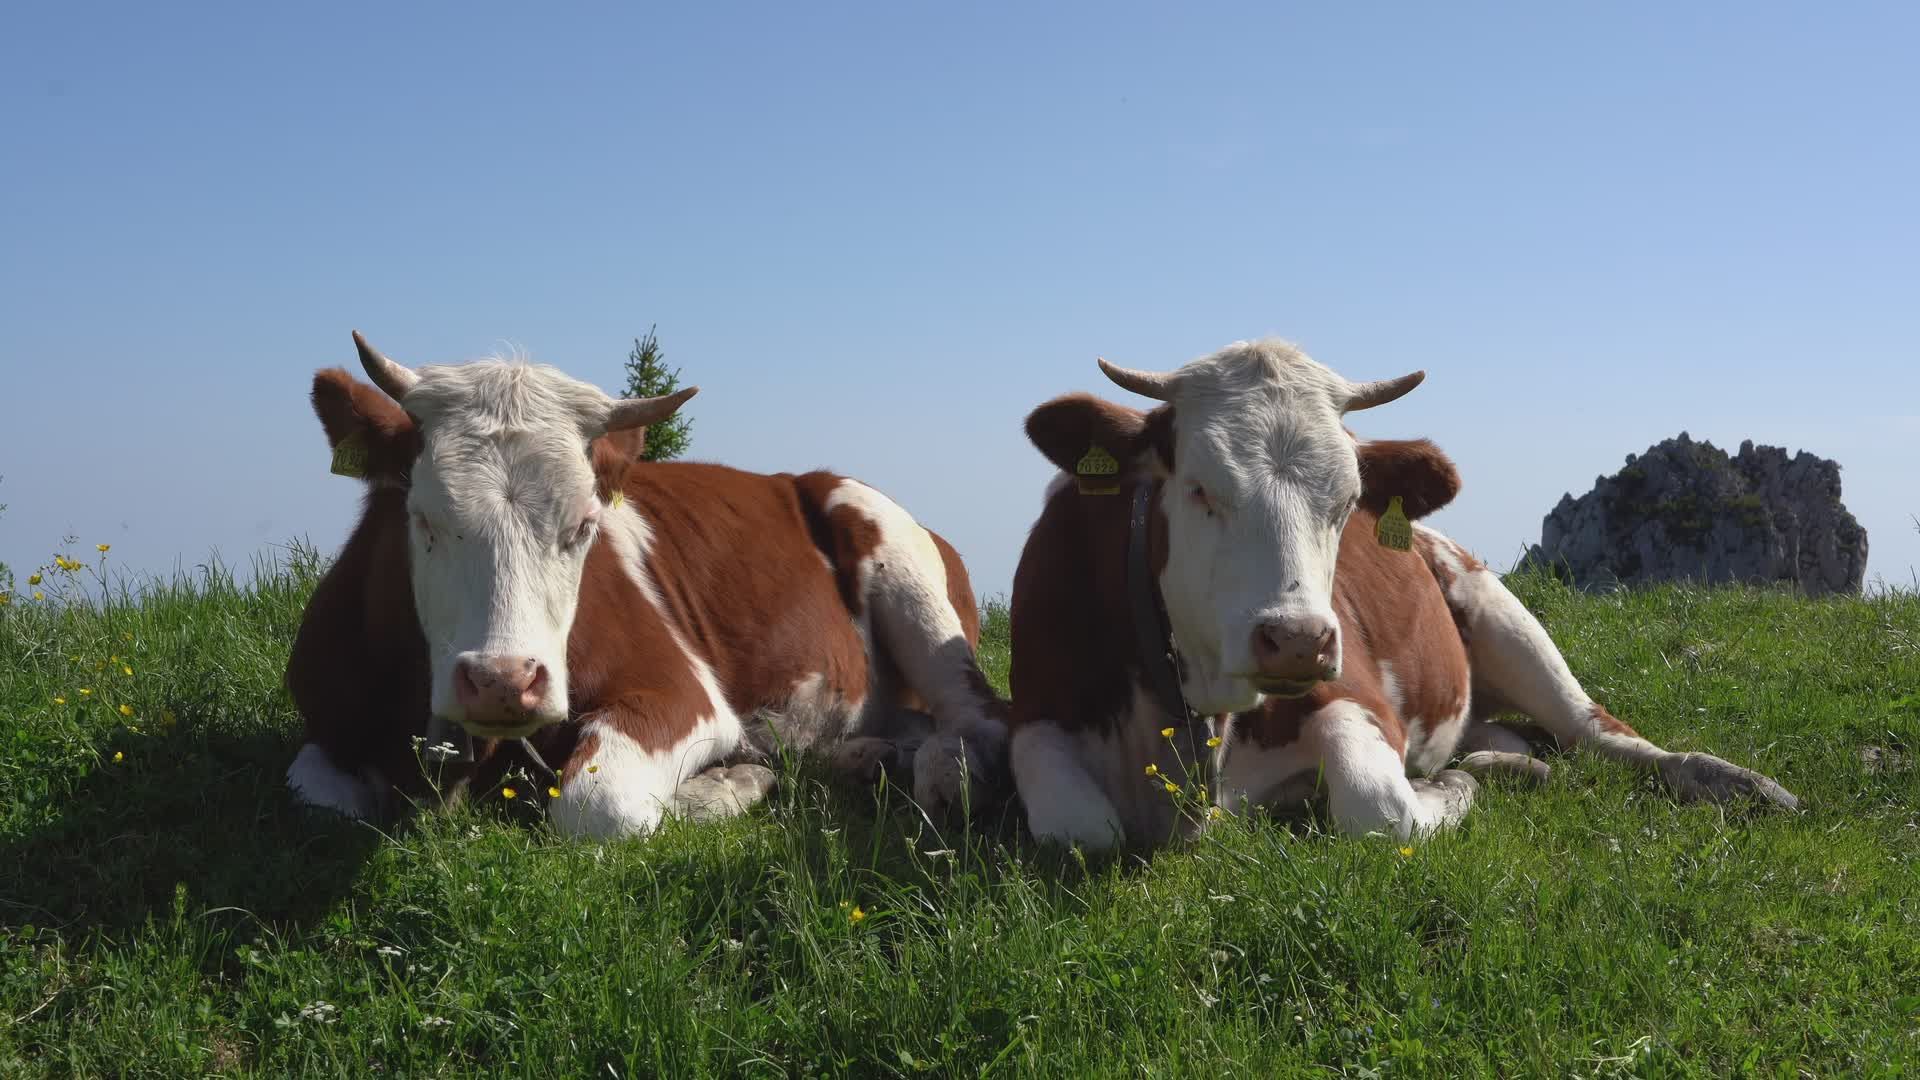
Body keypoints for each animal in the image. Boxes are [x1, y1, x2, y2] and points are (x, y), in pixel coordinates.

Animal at [284, 332, 1009, 837]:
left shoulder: (680, 690)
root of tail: (806, 476)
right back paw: (869, 757)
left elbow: (595, 804)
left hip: (914, 590)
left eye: (583, 525)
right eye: (422, 517)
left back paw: (950, 776)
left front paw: (733, 781)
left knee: (981, 716)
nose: (502, 680)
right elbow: (314, 794)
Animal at [1007, 338, 1799, 850]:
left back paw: (1738, 784)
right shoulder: (1037, 715)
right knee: (1513, 741)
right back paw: (1508, 762)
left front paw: (1448, 791)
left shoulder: (1357, 695)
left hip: (1501, 612)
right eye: (1199, 488)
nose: (1297, 640)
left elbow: (1378, 809)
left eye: (1346, 501)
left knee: (1600, 733)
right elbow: (1081, 829)